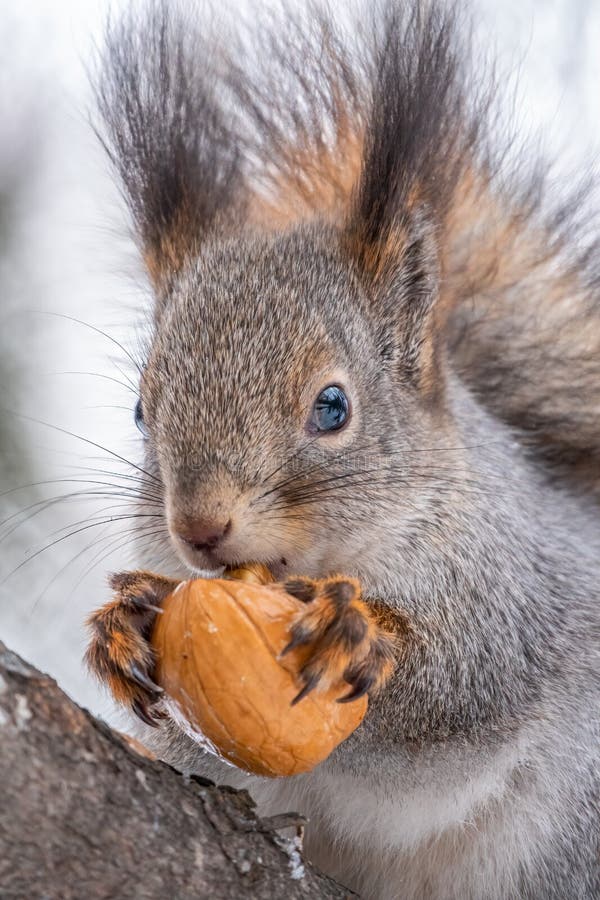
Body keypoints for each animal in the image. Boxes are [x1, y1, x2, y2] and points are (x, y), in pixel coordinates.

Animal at [85, 2, 600, 898]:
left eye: (333, 407)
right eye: (142, 410)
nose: (199, 529)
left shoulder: (515, 601)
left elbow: (455, 692)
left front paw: (359, 634)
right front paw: (126, 621)